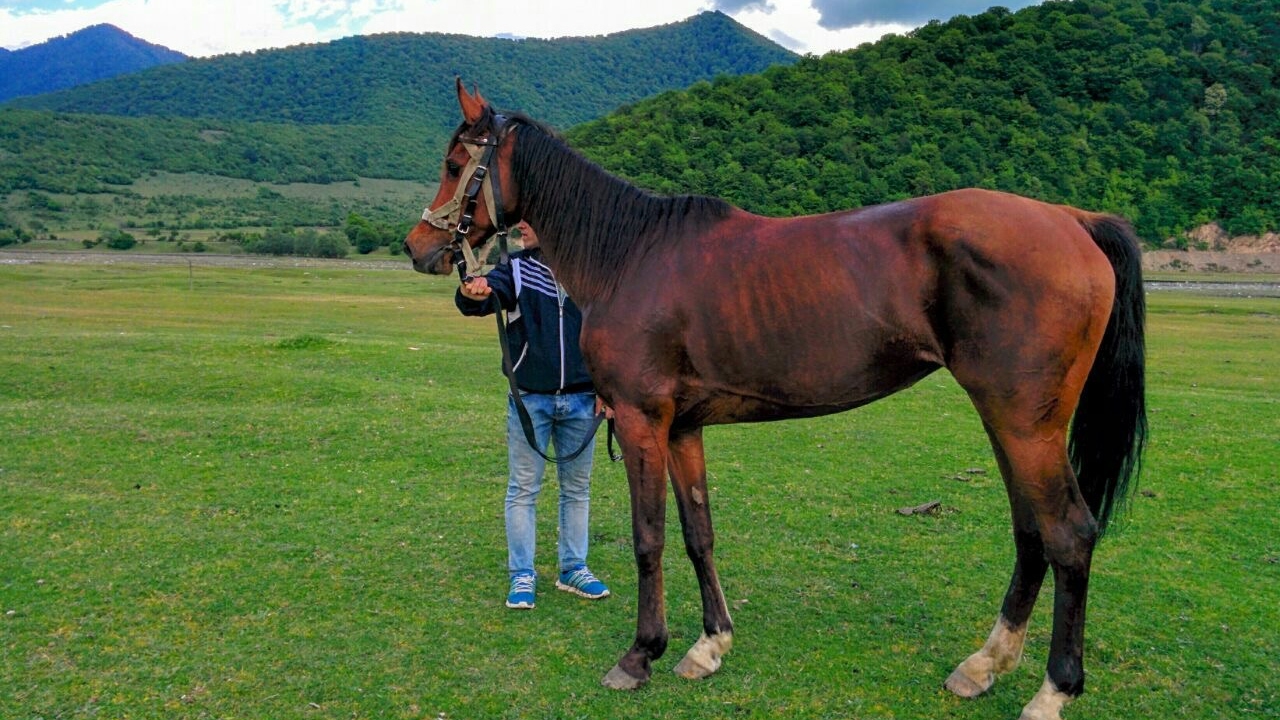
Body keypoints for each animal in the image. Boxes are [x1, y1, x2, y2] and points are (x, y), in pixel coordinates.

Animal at [404, 79, 1146, 720]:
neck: (631, 256)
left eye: (454, 163)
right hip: (1010, 422)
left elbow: (649, 539)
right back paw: (985, 664)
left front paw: (641, 655)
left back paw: (1052, 690)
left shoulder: (643, 422)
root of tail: (1071, 220)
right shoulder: (683, 429)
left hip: (1026, 425)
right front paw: (709, 646)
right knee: (1031, 532)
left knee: (1070, 535)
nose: (417, 247)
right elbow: (698, 533)